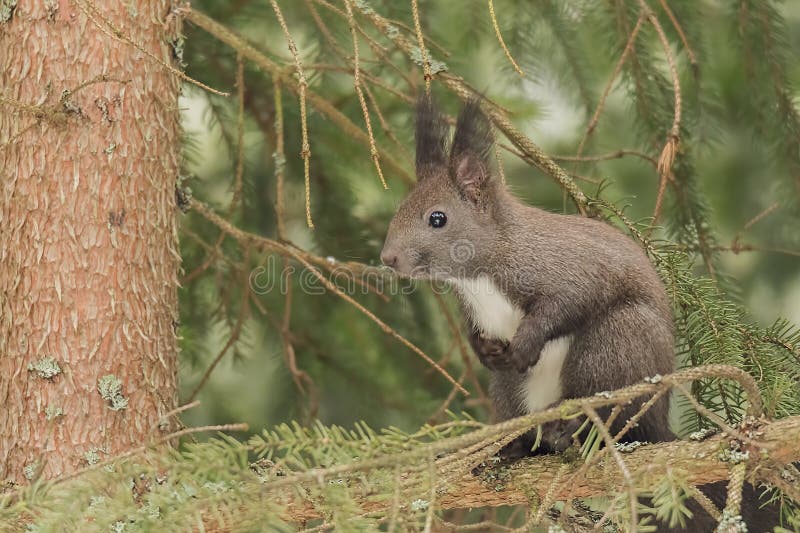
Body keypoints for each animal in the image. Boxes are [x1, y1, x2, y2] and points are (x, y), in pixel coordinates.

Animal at [380, 95, 780, 531]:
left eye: (437, 218)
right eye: (399, 208)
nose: (388, 258)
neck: (479, 273)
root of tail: (657, 427)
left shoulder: (568, 271)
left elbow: (563, 306)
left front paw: (526, 343)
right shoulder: (477, 312)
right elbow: (478, 334)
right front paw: (484, 351)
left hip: (615, 346)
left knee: (610, 419)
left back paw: (572, 430)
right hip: (510, 392)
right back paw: (515, 447)